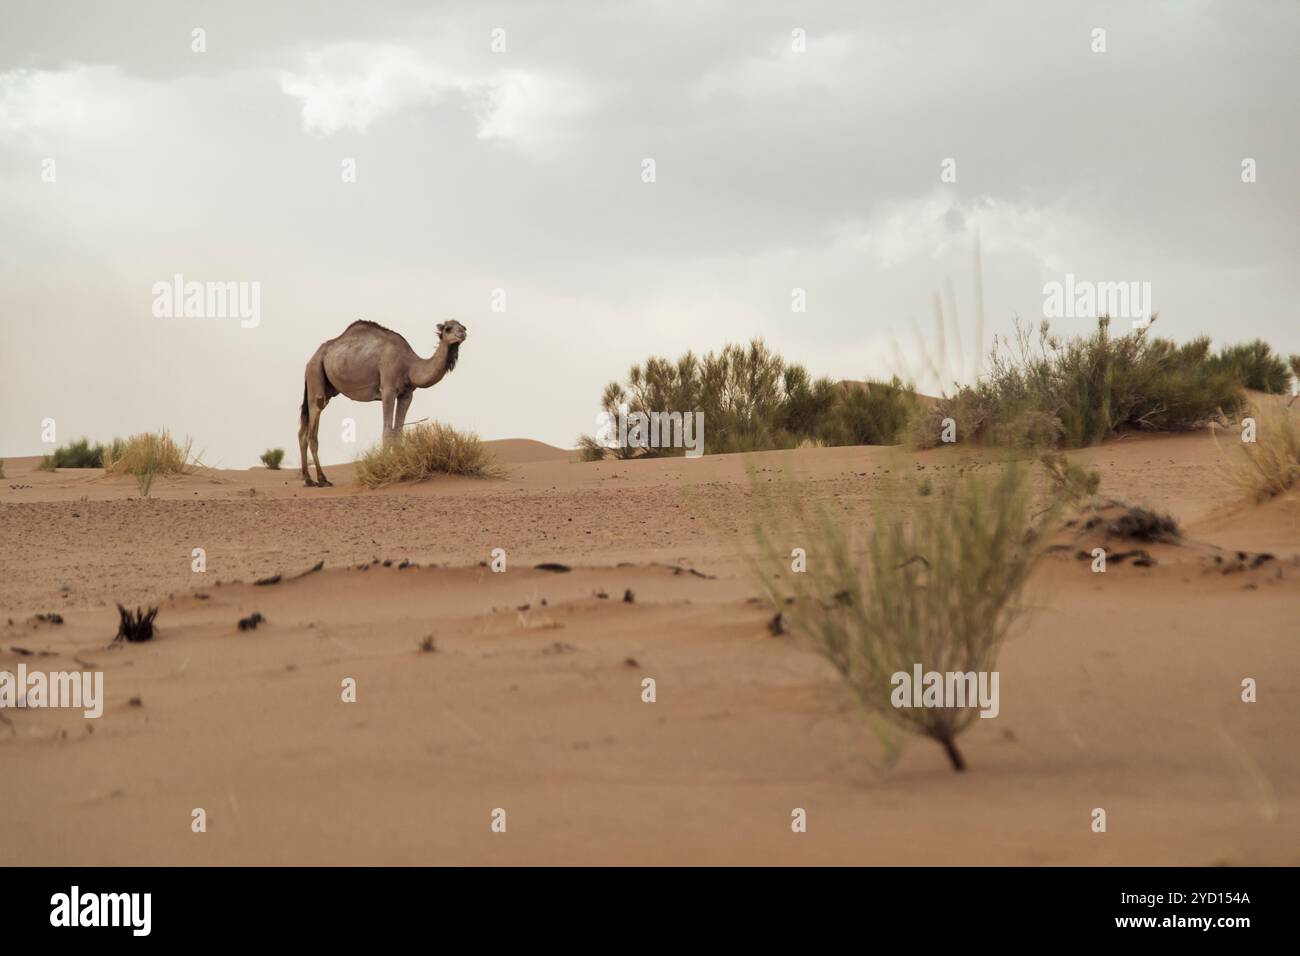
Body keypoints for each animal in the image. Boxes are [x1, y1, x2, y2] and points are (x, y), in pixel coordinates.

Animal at [298, 319, 468, 487]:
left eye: (463, 326)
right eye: (448, 328)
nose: (462, 334)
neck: (410, 365)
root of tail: (312, 358)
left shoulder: (406, 394)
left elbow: (398, 432)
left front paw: (402, 469)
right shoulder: (388, 389)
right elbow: (387, 431)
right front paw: (386, 470)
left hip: (327, 388)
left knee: (303, 432)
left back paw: (308, 479)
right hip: (315, 376)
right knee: (312, 430)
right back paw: (322, 479)